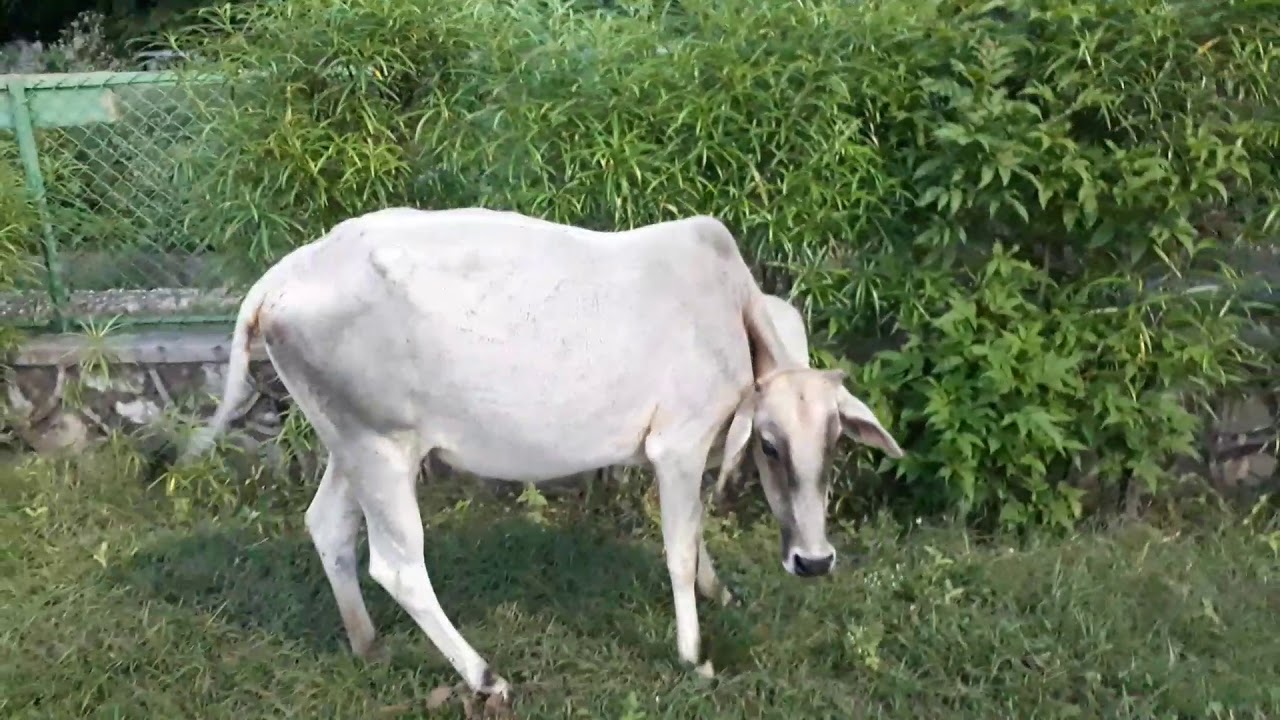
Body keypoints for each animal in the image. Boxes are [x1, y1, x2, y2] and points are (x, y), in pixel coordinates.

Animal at [164, 207, 904, 700]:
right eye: (771, 447)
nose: (815, 561)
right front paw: (693, 653)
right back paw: (484, 676)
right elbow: (678, 549)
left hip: (350, 444)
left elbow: (695, 543)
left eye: (835, 443)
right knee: (398, 567)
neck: (729, 307)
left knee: (327, 529)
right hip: (380, 449)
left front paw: (719, 591)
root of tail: (283, 276)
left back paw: (368, 646)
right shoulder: (678, 443)